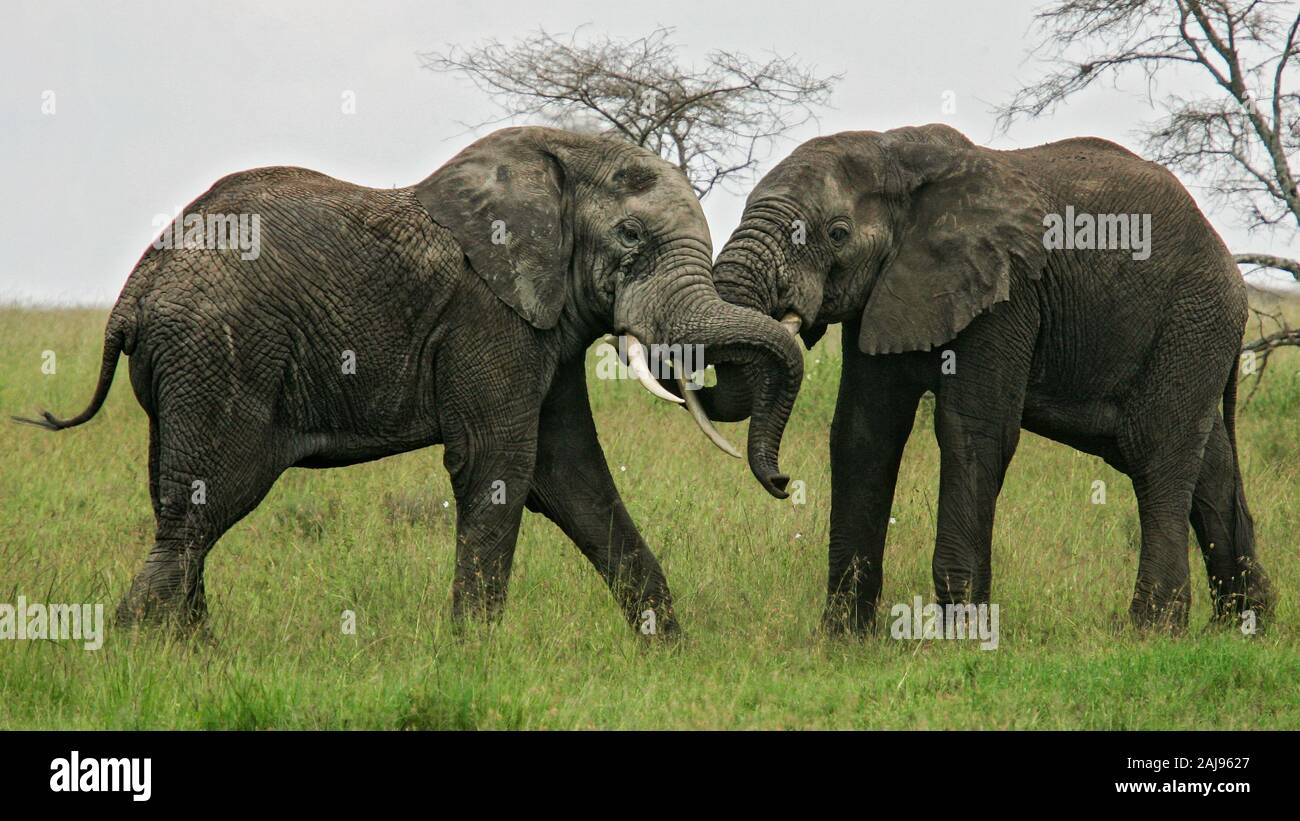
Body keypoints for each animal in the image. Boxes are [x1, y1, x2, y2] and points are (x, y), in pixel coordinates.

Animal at [15, 126, 804, 636]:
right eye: (631, 238)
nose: (784, 482)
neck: (555, 158)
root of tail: (135, 291)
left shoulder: (540, 320)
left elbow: (571, 475)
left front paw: (665, 646)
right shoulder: (489, 315)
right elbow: (499, 465)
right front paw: (474, 654)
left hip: (186, 369)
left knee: (176, 504)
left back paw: (191, 651)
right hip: (221, 357)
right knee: (200, 511)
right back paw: (139, 649)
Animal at [696, 123, 1272, 633]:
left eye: (837, 234)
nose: (781, 482)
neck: (894, 151)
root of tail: (1225, 258)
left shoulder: (1005, 291)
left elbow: (972, 432)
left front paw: (965, 640)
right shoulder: (883, 294)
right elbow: (864, 435)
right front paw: (841, 640)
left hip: (1190, 317)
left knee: (1154, 451)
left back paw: (1152, 631)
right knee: (1209, 463)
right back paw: (1244, 628)